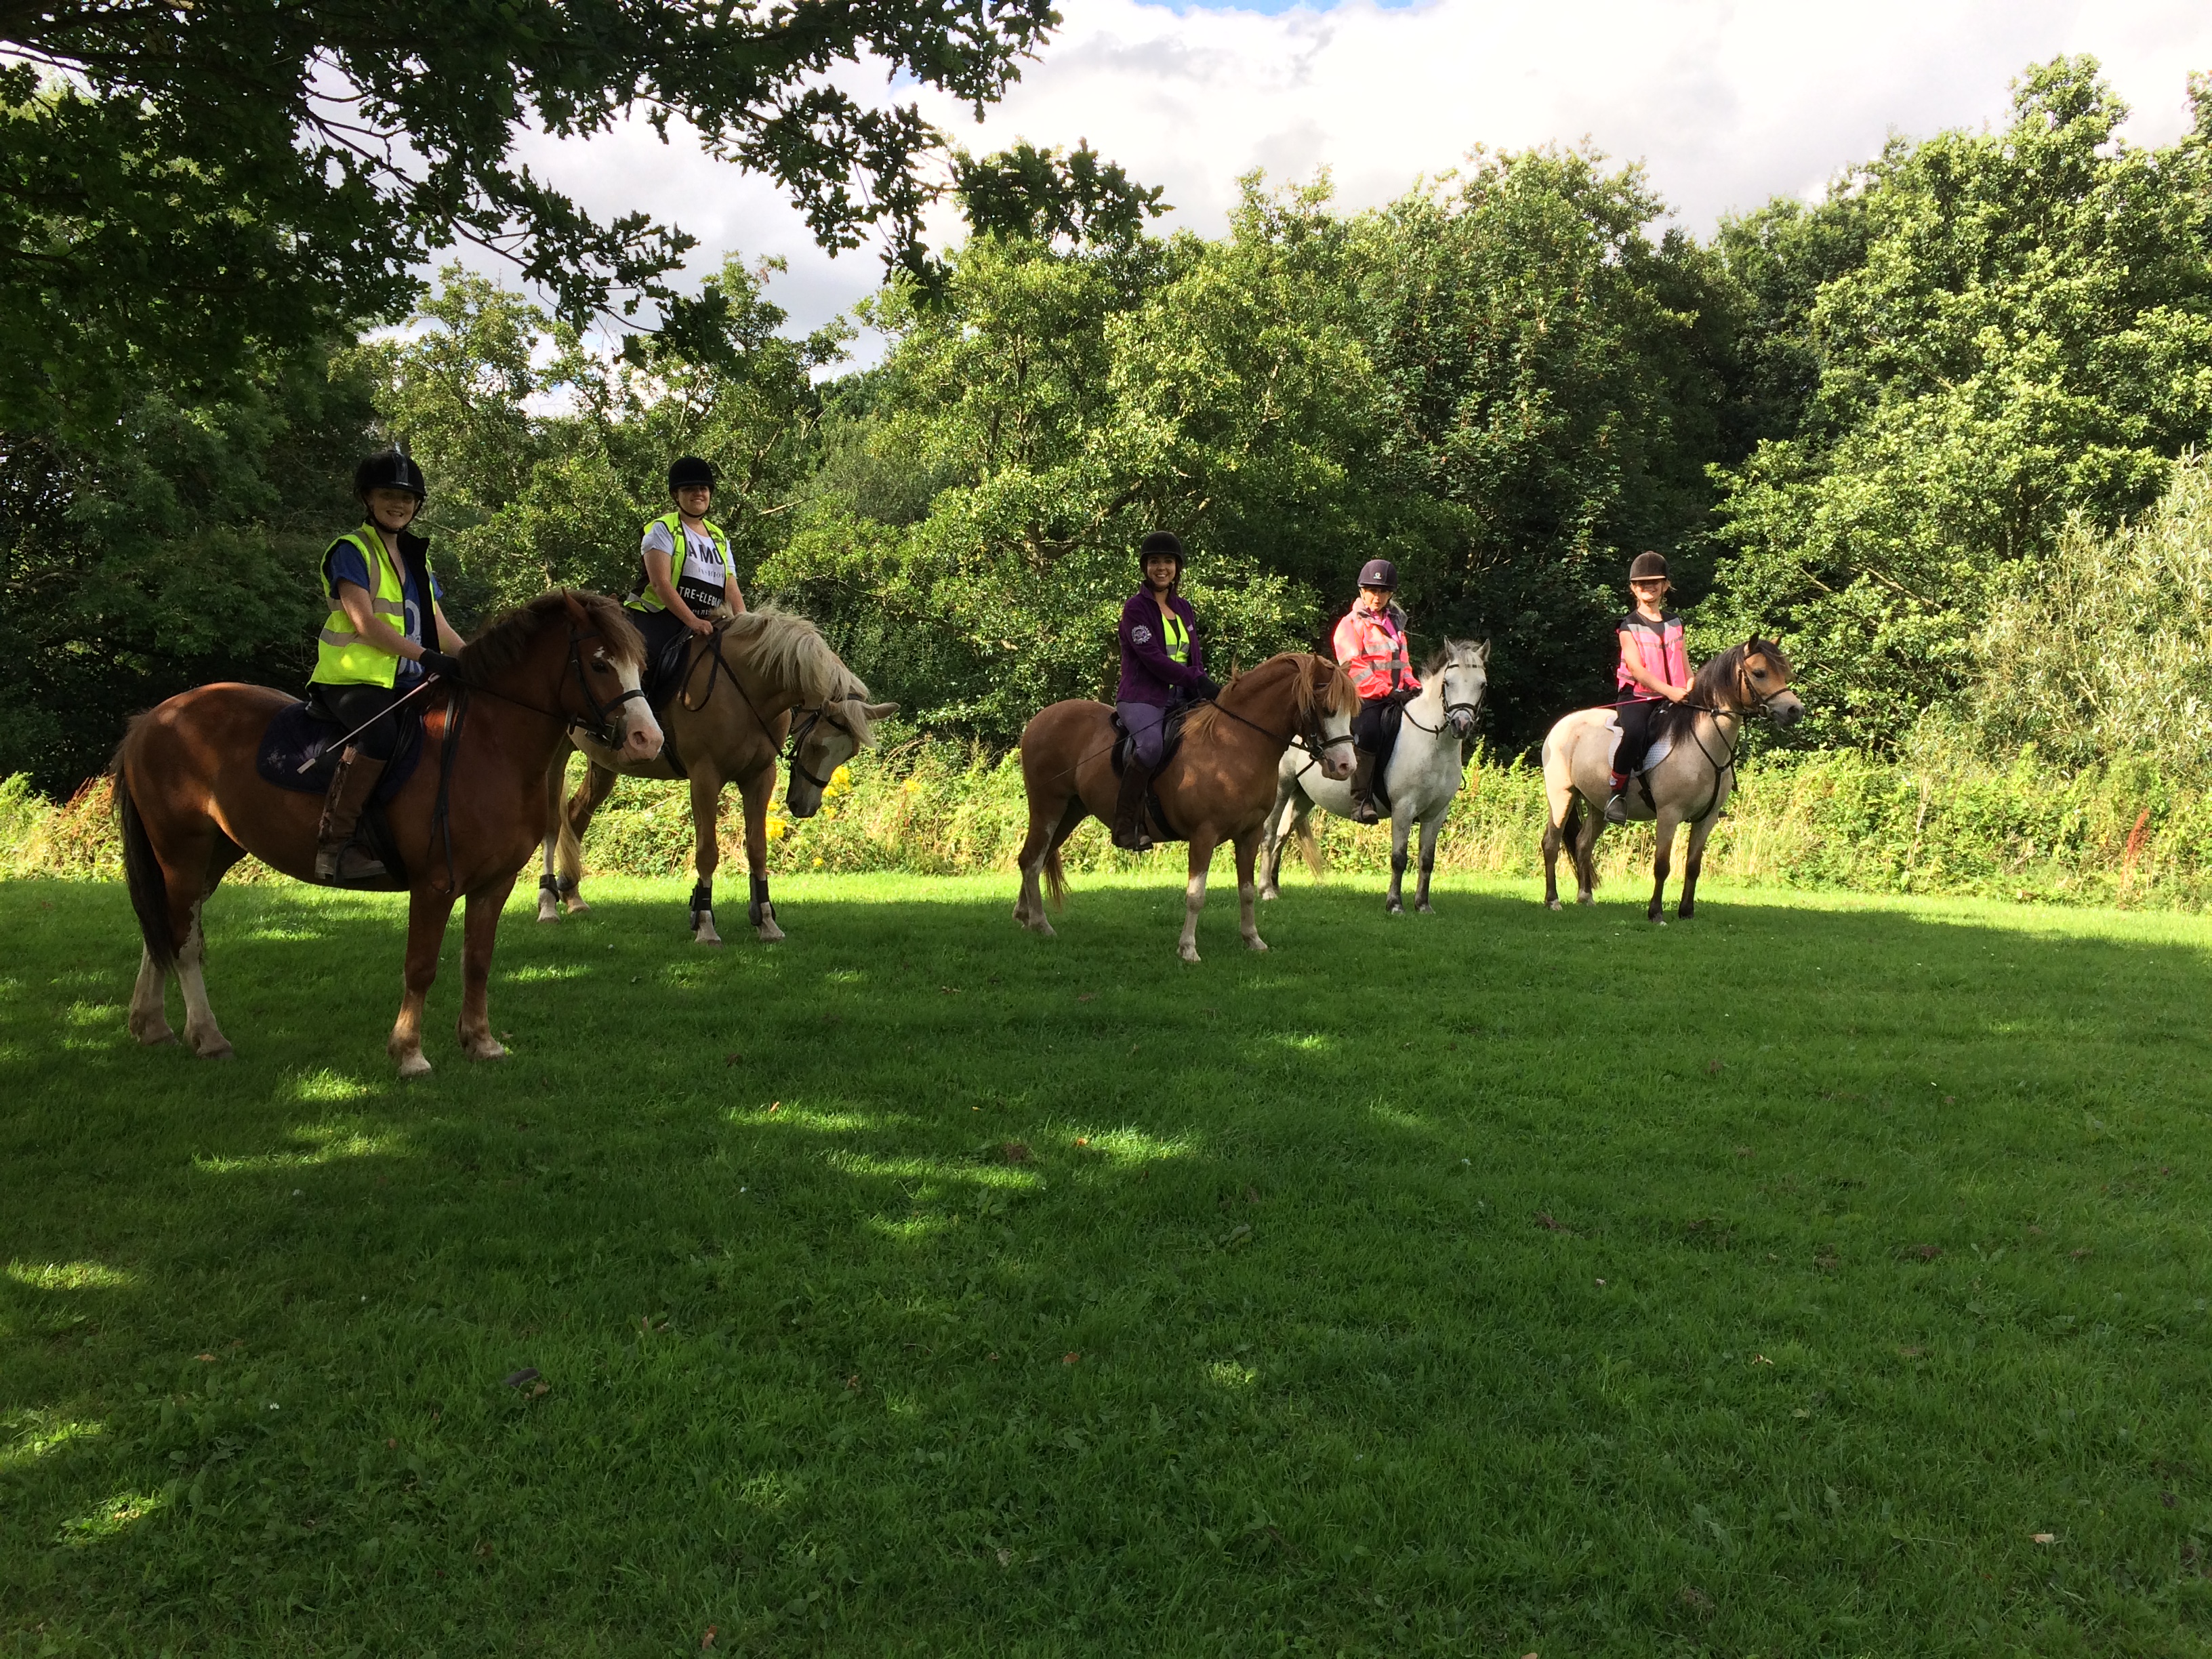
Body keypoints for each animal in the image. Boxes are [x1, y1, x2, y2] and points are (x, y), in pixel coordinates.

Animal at [111, 591, 661, 1076]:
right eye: (599, 664)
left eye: (639, 666)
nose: (647, 740)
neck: (487, 746)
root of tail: (154, 718)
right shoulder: (435, 884)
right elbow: (421, 966)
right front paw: (409, 1053)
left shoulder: (494, 885)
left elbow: (478, 962)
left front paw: (481, 1042)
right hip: (181, 853)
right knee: (182, 940)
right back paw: (207, 1036)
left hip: (214, 854)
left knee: (164, 930)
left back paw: (151, 1026)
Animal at [539, 606, 896, 943]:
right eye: (818, 745)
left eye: (848, 754)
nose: (804, 808)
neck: (744, 689)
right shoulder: (705, 778)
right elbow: (708, 853)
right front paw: (705, 925)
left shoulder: (759, 777)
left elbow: (757, 850)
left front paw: (766, 922)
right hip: (552, 761)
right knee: (552, 825)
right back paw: (547, 904)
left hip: (603, 767)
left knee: (576, 816)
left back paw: (572, 897)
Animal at [1012, 653, 1357, 962]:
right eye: (1327, 709)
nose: (1346, 767)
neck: (1236, 744)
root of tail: (1041, 719)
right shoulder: (1203, 835)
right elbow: (1196, 895)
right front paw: (1188, 949)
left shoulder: (1249, 834)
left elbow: (1246, 891)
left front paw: (1253, 940)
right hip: (1048, 808)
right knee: (1031, 860)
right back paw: (1041, 924)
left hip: (1070, 812)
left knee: (1037, 858)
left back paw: (1025, 916)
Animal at [1258, 639, 1490, 915]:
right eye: (1448, 682)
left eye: (1482, 684)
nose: (1461, 724)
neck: (1432, 744)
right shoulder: (1404, 808)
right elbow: (1399, 858)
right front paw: (1395, 904)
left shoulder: (1436, 813)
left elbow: (1427, 860)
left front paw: (1423, 905)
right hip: (1282, 789)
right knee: (1270, 834)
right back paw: (1265, 889)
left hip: (1302, 797)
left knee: (1283, 834)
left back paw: (1275, 885)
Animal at [1540, 636, 1803, 922]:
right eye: (1759, 673)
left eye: (1784, 672)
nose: (1795, 710)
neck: (1702, 745)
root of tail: (1562, 725)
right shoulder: (1669, 815)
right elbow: (1662, 866)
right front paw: (1656, 913)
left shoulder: (1706, 819)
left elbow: (1693, 866)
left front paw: (1686, 912)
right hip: (1562, 796)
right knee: (1551, 844)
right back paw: (1553, 900)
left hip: (1597, 806)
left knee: (1583, 845)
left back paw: (1586, 898)